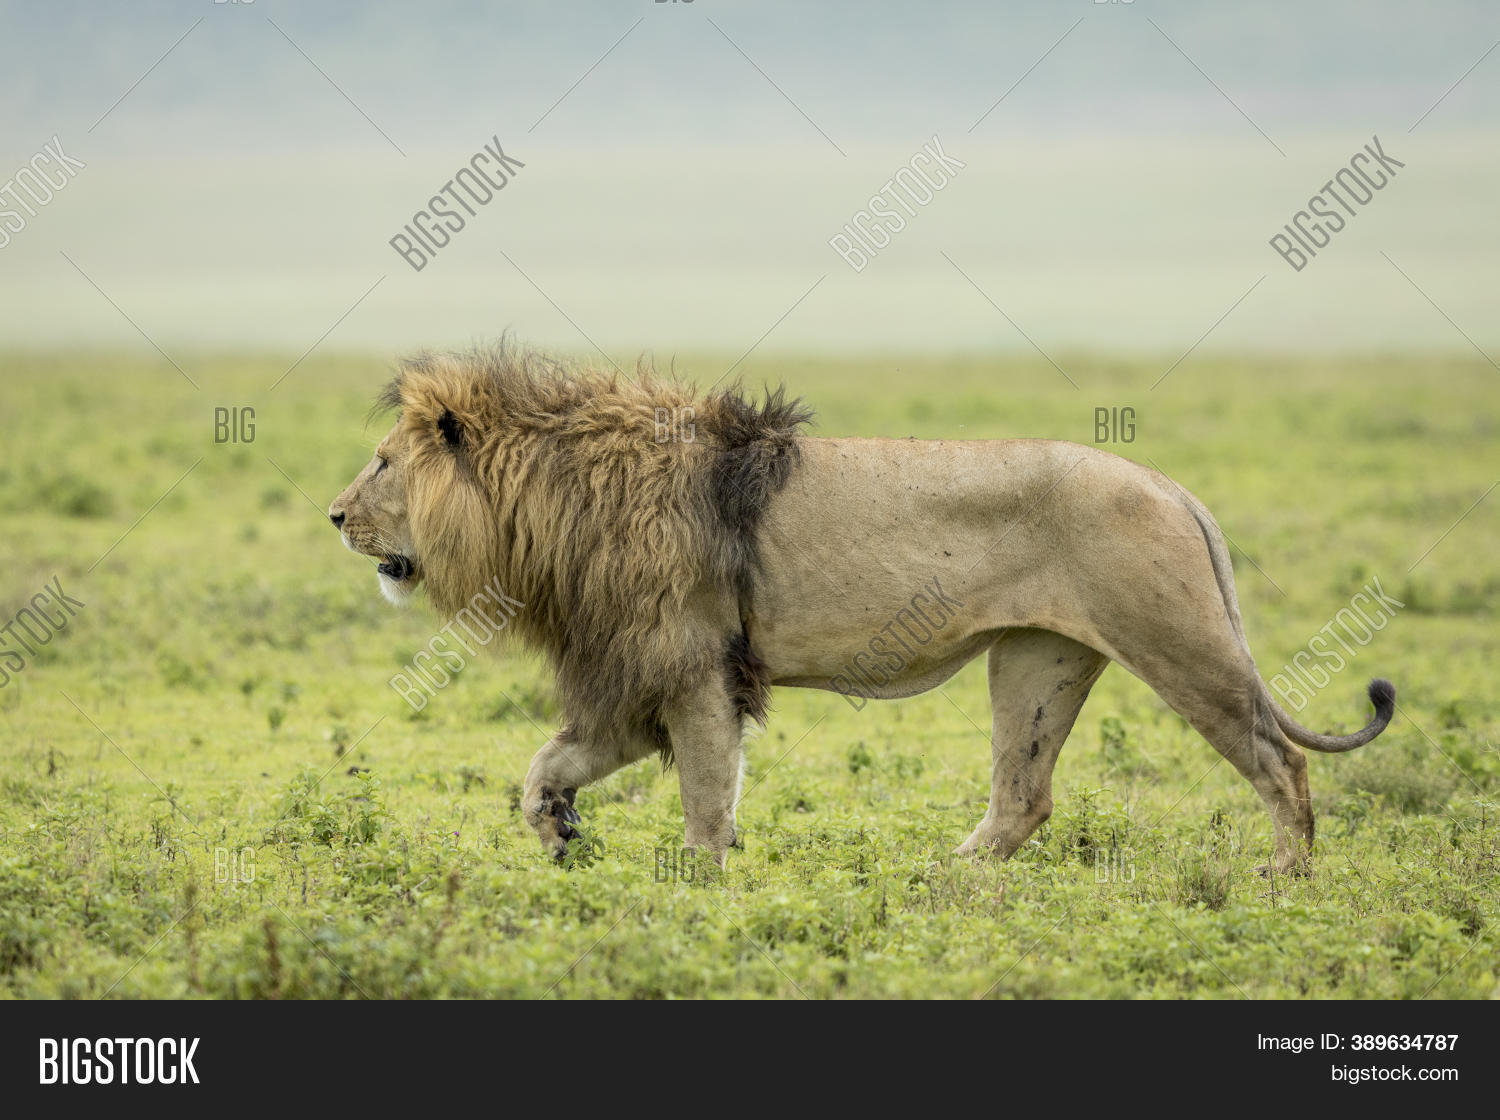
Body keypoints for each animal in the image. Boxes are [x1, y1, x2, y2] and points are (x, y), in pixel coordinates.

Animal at [329, 341, 1395, 874]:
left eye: (381, 463)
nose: (335, 515)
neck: (547, 498)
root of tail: (1175, 486)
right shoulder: (640, 675)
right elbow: (547, 763)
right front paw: (555, 831)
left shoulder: (694, 665)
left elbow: (705, 797)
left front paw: (697, 889)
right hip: (1035, 660)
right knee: (1025, 795)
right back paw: (947, 881)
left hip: (1178, 643)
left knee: (1282, 760)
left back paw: (1286, 881)